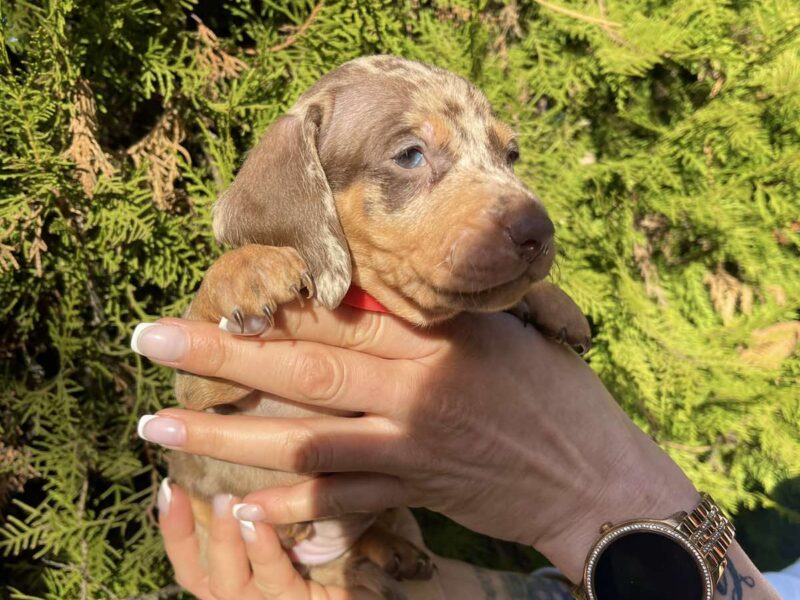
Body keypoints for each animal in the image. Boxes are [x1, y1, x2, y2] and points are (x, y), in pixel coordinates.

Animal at [169, 54, 592, 596]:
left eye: (510, 154)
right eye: (410, 156)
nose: (540, 231)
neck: (375, 304)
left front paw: (553, 302)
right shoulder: (200, 391)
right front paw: (245, 268)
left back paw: (394, 550)